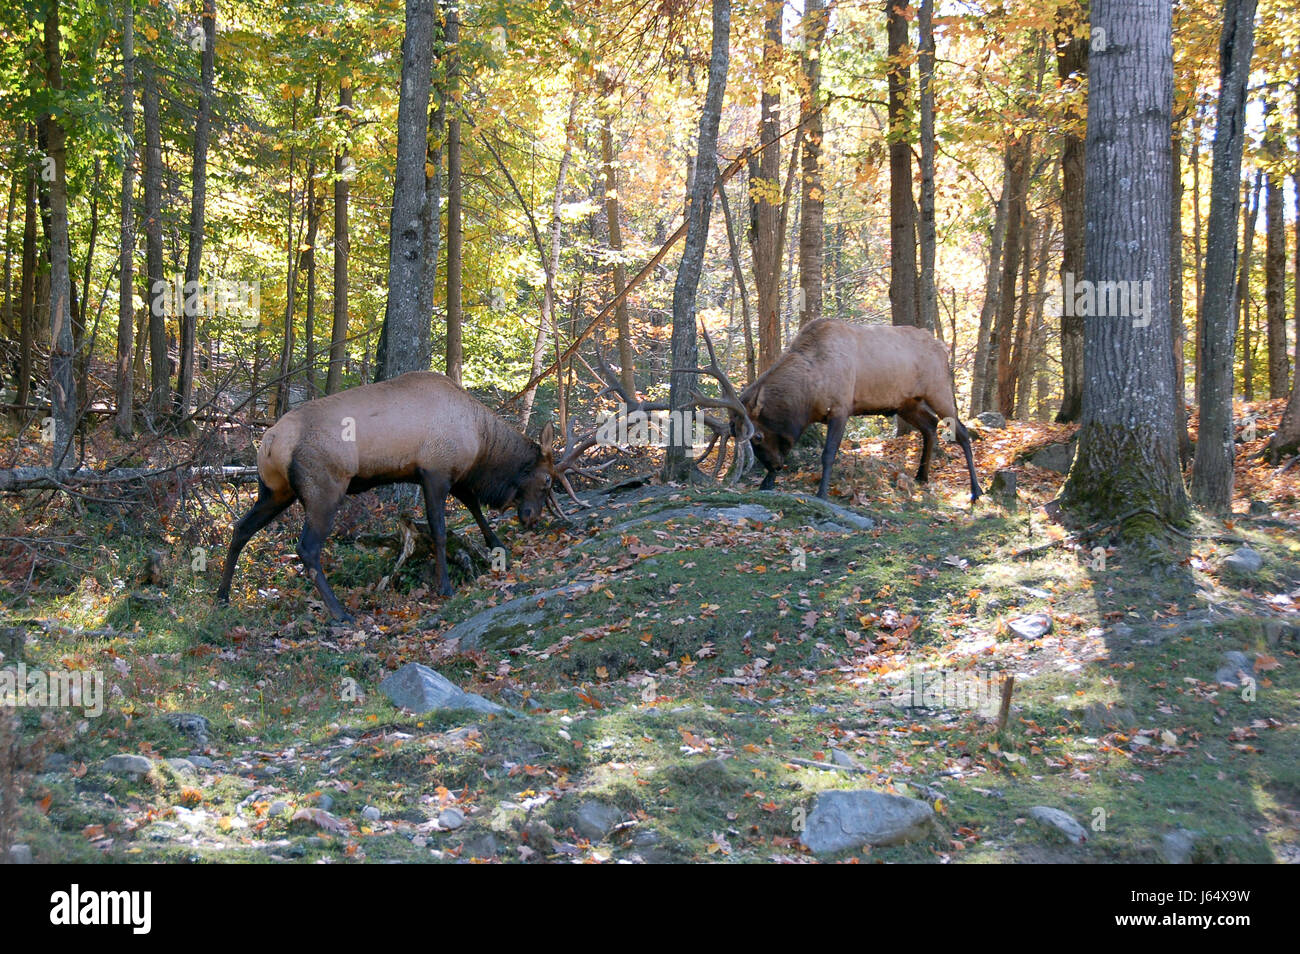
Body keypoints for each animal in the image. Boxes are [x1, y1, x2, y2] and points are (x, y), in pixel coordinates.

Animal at [216, 371, 581, 622]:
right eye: (546, 481)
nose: (531, 517)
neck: (482, 443)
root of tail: (270, 441)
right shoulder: (436, 471)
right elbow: (440, 530)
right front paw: (445, 586)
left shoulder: (452, 474)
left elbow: (474, 507)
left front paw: (497, 545)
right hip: (324, 489)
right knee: (307, 548)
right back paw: (339, 613)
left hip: (276, 490)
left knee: (241, 529)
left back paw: (222, 597)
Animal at [686, 318, 983, 502]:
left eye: (757, 436)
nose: (775, 466)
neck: (809, 392)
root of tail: (944, 349)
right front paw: (767, 483)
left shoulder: (841, 408)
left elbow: (828, 454)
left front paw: (821, 493)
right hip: (907, 402)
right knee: (930, 426)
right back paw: (921, 477)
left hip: (939, 390)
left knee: (961, 431)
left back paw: (976, 490)